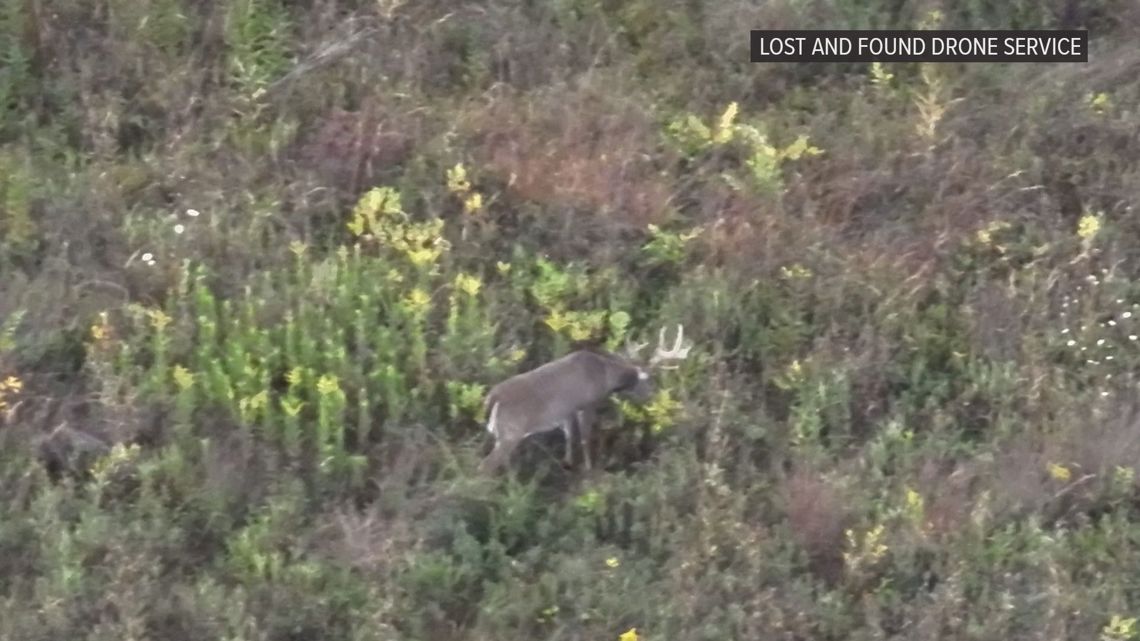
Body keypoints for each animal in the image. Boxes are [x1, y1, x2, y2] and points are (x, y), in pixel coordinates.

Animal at [479, 324, 692, 474]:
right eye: (650, 380)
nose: (653, 396)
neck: (605, 375)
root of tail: (492, 399)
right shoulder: (587, 404)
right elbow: (584, 438)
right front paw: (589, 468)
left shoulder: (568, 411)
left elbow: (569, 435)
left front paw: (568, 462)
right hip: (511, 433)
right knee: (484, 467)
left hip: (501, 435)